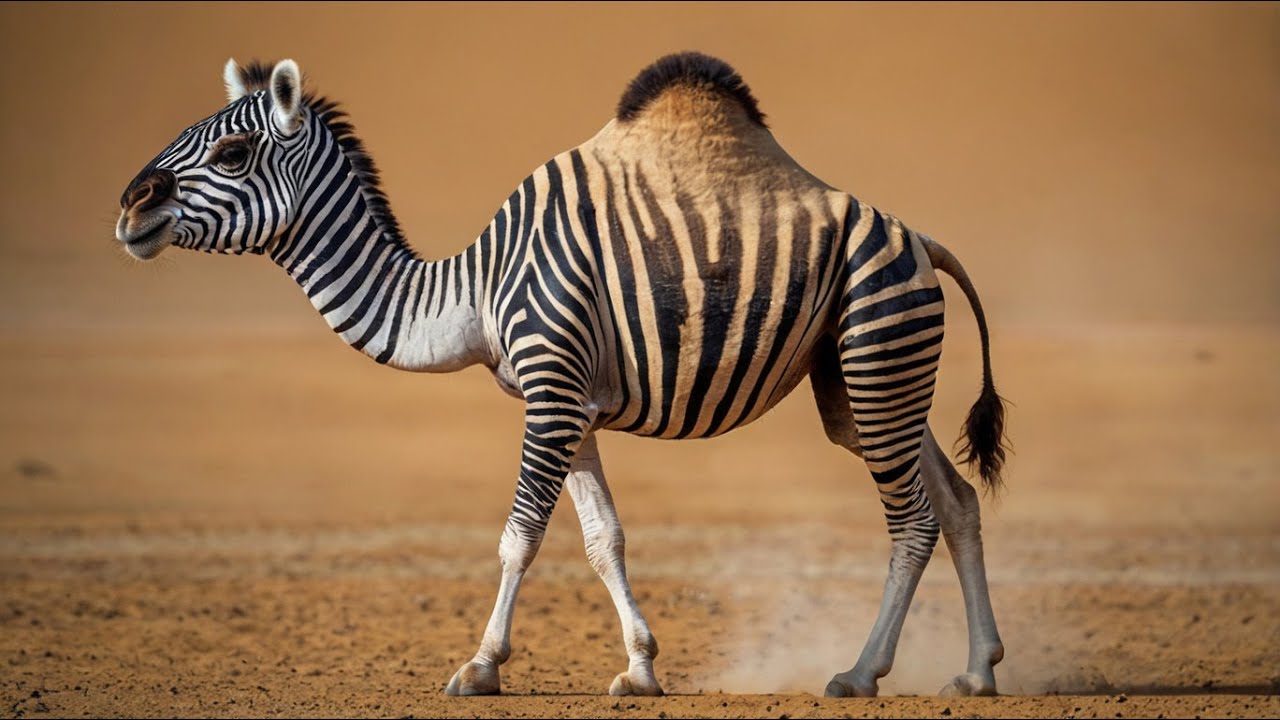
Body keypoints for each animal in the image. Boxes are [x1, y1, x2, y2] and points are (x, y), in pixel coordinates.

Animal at [116, 52, 1009, 699]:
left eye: (233, 152)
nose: (130, 206)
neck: (470, 294)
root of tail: (919, 239)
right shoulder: (572, 407)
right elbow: (602, 539)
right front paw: (641, 669)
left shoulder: (548, 397)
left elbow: (520, 538)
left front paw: (480, 667)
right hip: (860, 388)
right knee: (956, 499)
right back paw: (976, 672)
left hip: (876, 352)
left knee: (912, 519)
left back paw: (860, 674)